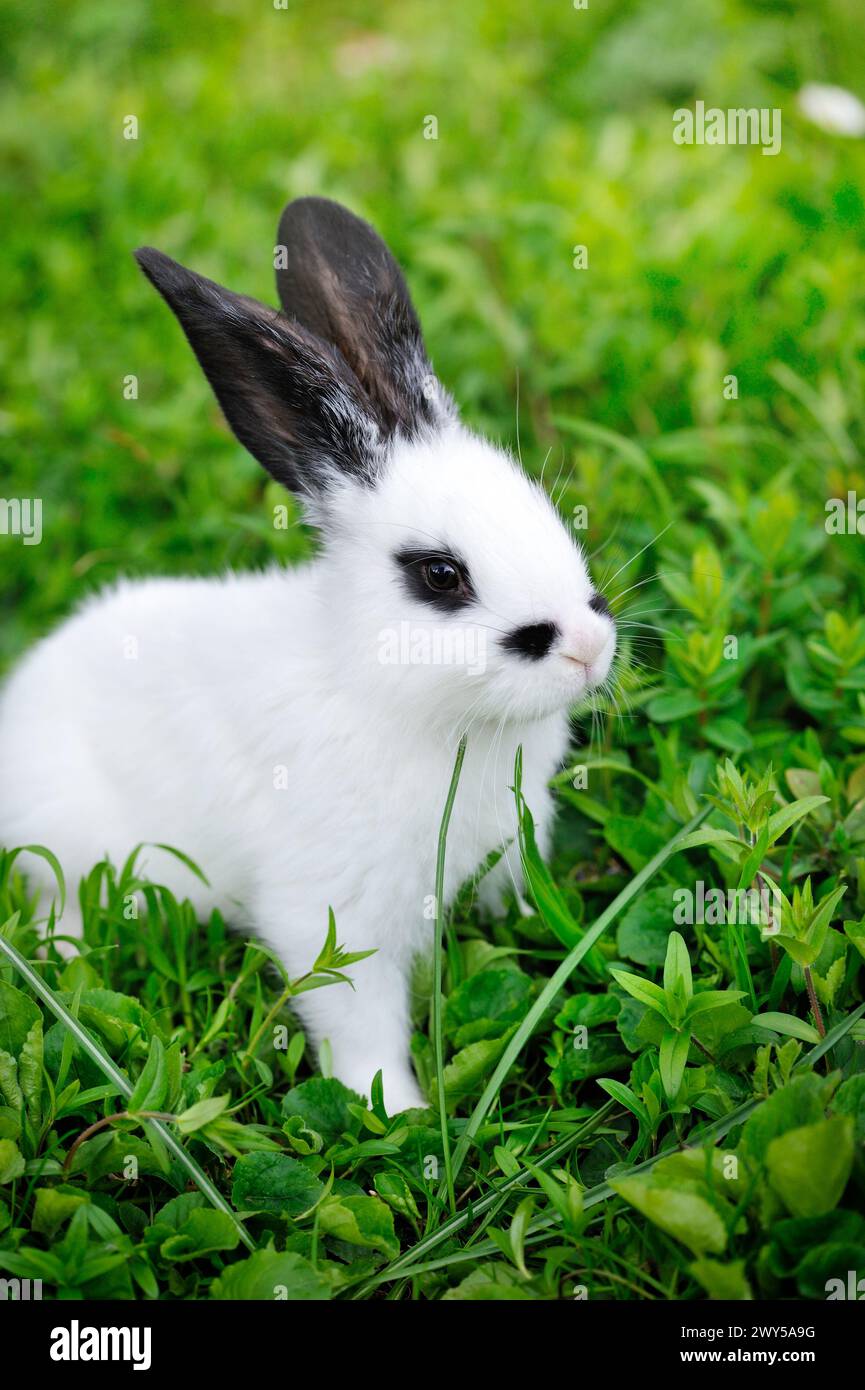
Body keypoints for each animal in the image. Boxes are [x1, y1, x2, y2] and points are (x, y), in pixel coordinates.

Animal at [0, 197, 616, 1113]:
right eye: (440, 575)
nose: (588, 647)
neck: (377, 687)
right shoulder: (332, 911)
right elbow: (357, 1020)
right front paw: (393, 1109)